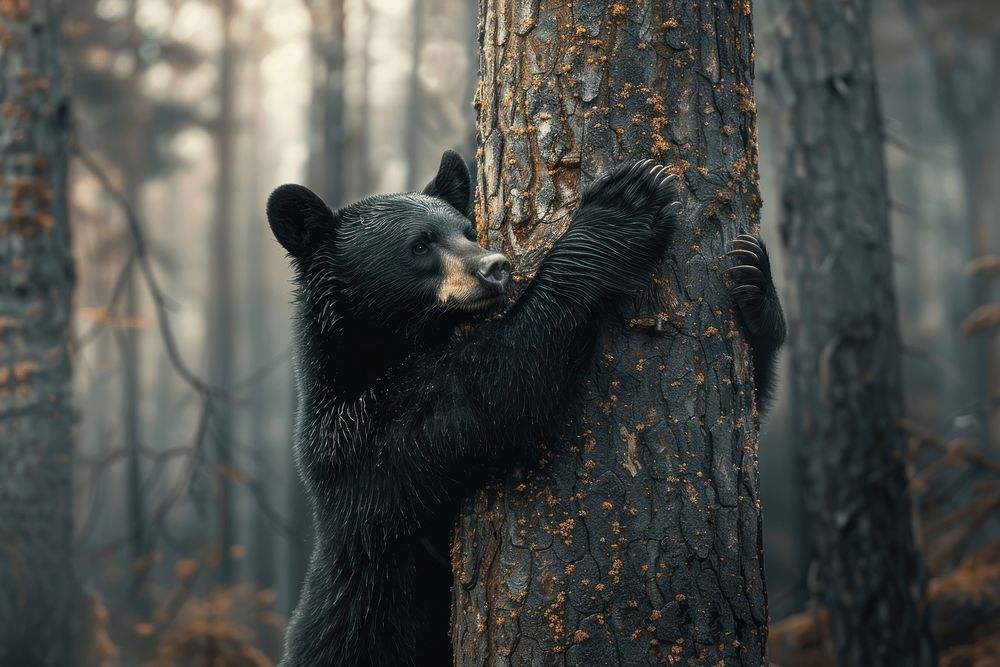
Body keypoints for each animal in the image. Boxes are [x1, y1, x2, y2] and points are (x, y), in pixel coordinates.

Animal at [266, 151, 785, 666]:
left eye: (468, 230)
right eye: (419, 245)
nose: (495, 266)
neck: (378, 356)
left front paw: (755, 282)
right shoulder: (375, 438)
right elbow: (500, 387)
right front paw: (622, 205)